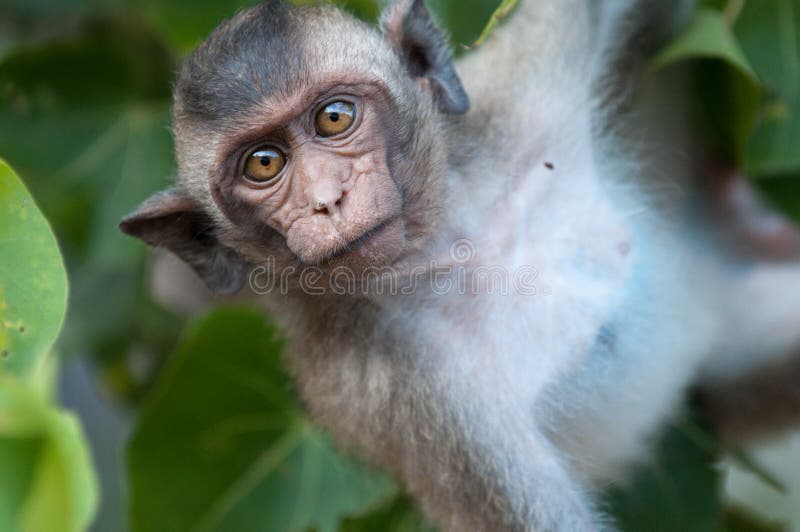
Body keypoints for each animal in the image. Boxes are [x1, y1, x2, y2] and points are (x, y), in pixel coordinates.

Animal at [119, 0, 800, 529]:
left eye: (334, 117)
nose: (326, 199)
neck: (461, 245)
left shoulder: (524, 85)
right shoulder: (414, 398)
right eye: (263, 164)